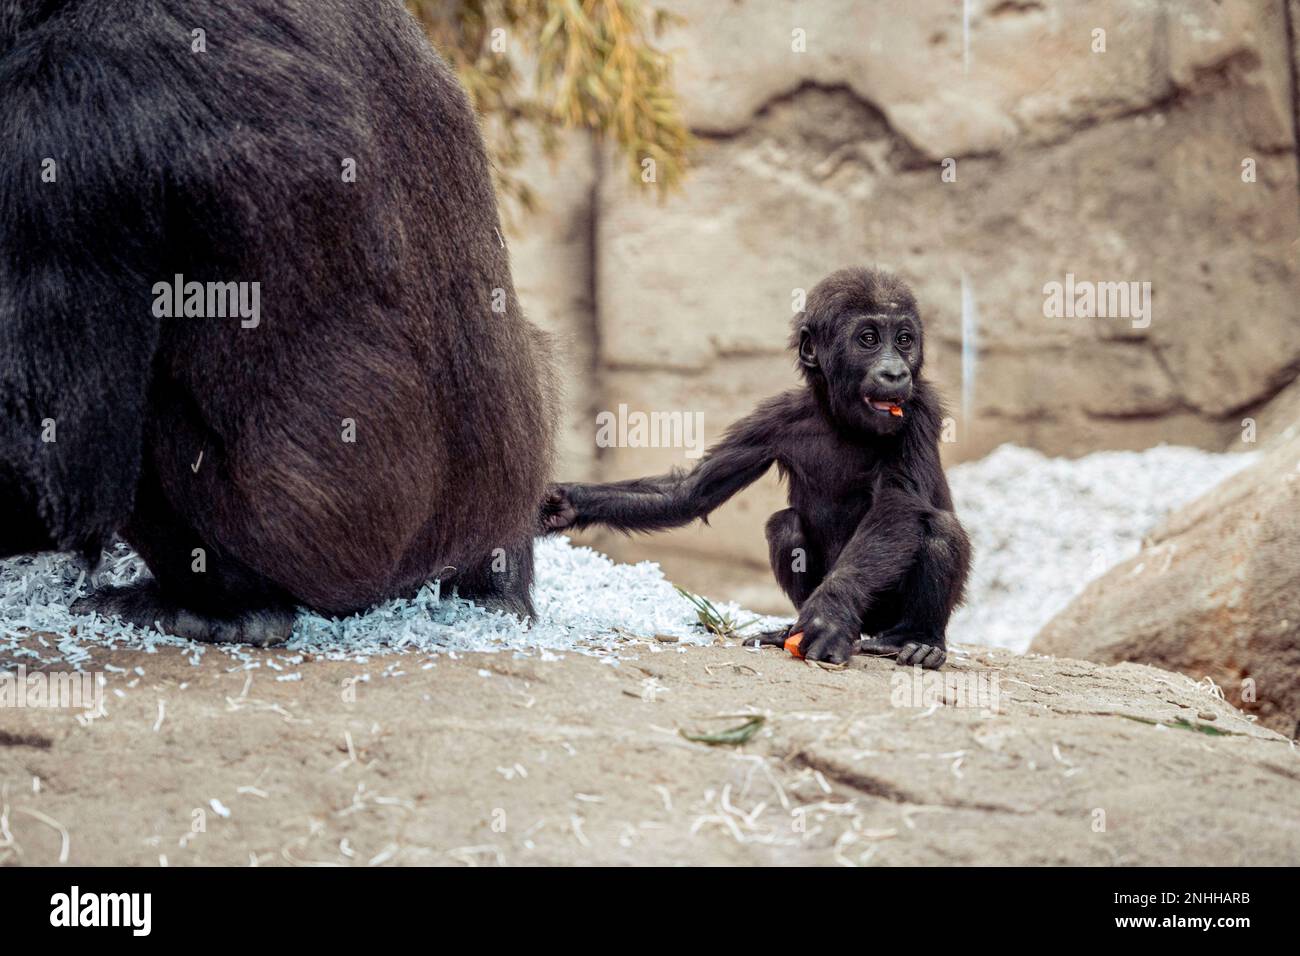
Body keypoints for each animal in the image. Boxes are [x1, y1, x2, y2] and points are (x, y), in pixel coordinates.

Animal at [542, 267, 970, 668]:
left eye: (903, 340)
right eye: (868, 339)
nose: (896, 372)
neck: (839, 417)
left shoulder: (920, 408)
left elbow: (898, 504)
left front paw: (830, 610)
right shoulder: (772, 420)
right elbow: (690, 492)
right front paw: (568, 503)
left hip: (884, 615)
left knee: (938, 529)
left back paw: (916, 638)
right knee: (786, 525)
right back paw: (790, 629)